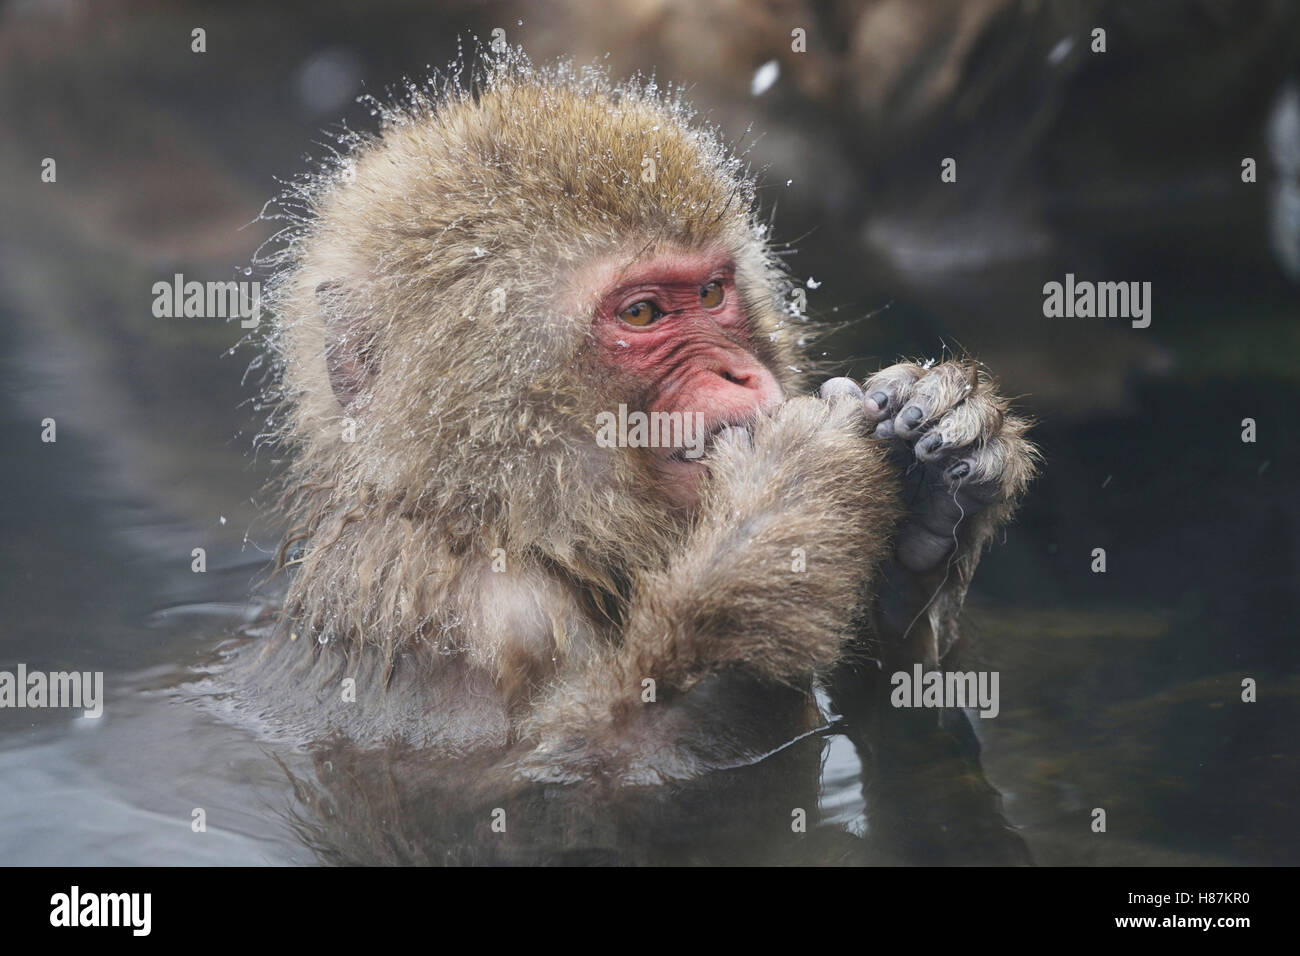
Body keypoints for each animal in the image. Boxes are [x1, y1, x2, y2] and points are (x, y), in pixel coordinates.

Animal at [241, 52, 1036, 792]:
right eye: (644, 313)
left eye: (712, 293)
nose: (740, 374)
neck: (510, 522)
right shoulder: (464, 611)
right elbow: (562, 771)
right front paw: (792, 493)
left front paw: (940, 477)